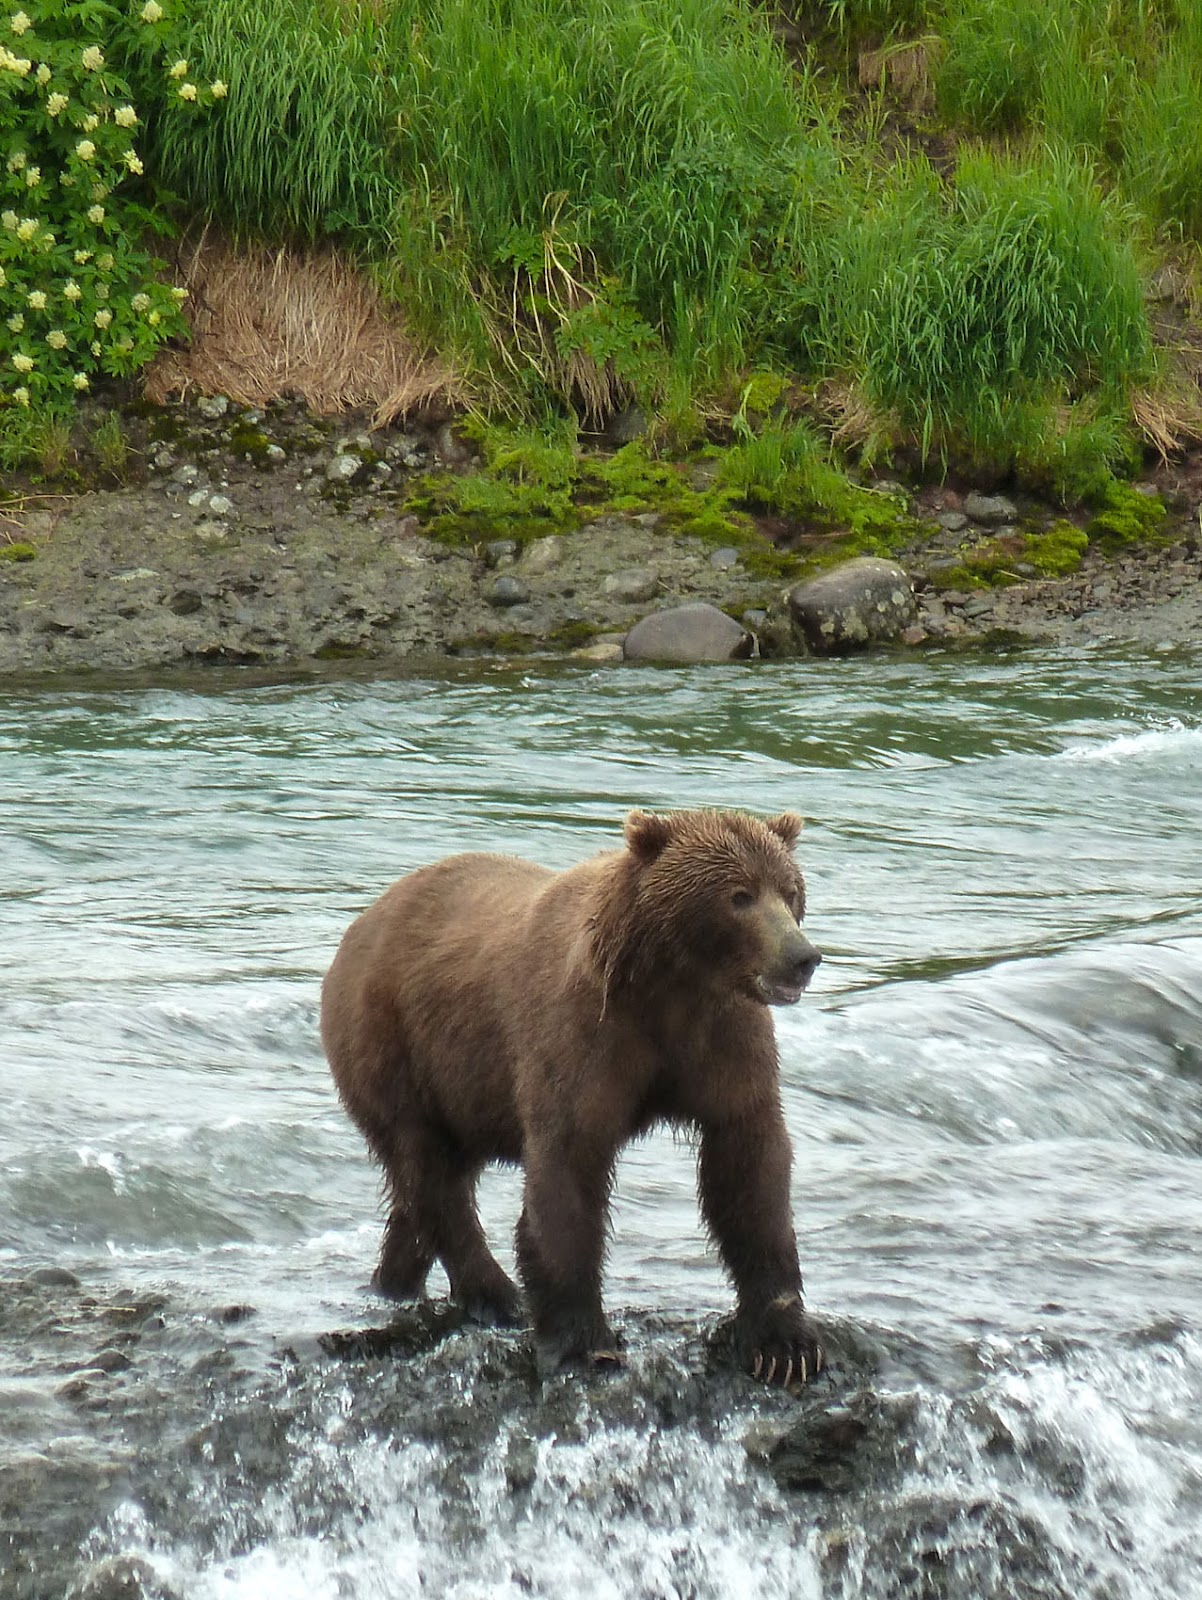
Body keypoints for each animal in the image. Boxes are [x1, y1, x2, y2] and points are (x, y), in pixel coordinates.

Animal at [320, 807, 824, 1385]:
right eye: (739, 895)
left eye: (789, 891)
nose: (802, 956)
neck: (671, 986)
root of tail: (365, 918)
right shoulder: (583, 1035)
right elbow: (567, 1169)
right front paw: (584, 1344)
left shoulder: (724, 1045)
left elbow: (749, 1167)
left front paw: (784, 1345)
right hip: (396, 1046)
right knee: (428, 1169)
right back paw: (496, 1295)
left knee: (423, 1188)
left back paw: (396, 1283)